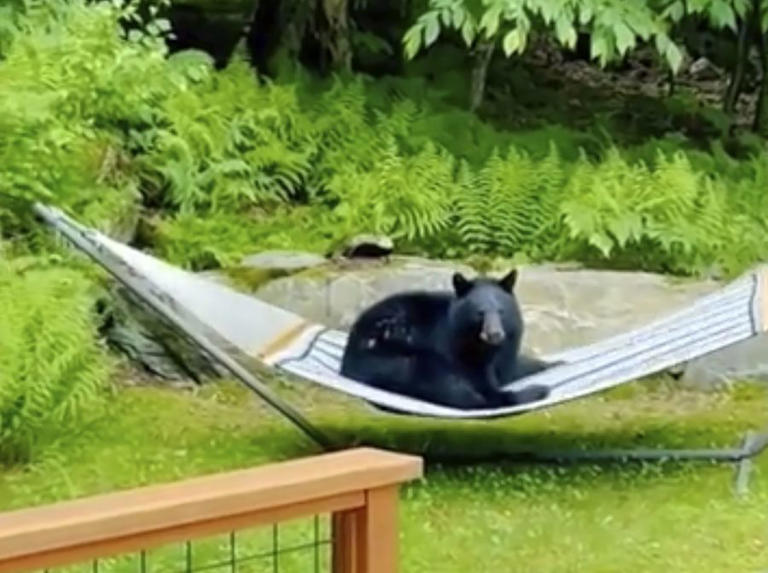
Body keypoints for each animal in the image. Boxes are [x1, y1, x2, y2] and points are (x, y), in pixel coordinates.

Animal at [339, 268, 559, 411]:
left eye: (501, 311)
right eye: (480, 313)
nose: (495, 334)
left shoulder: (506, 350)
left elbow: (514, 367)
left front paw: (553, 363)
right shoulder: (456, 348)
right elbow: (481, 383)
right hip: (398, 357)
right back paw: (537, 390)